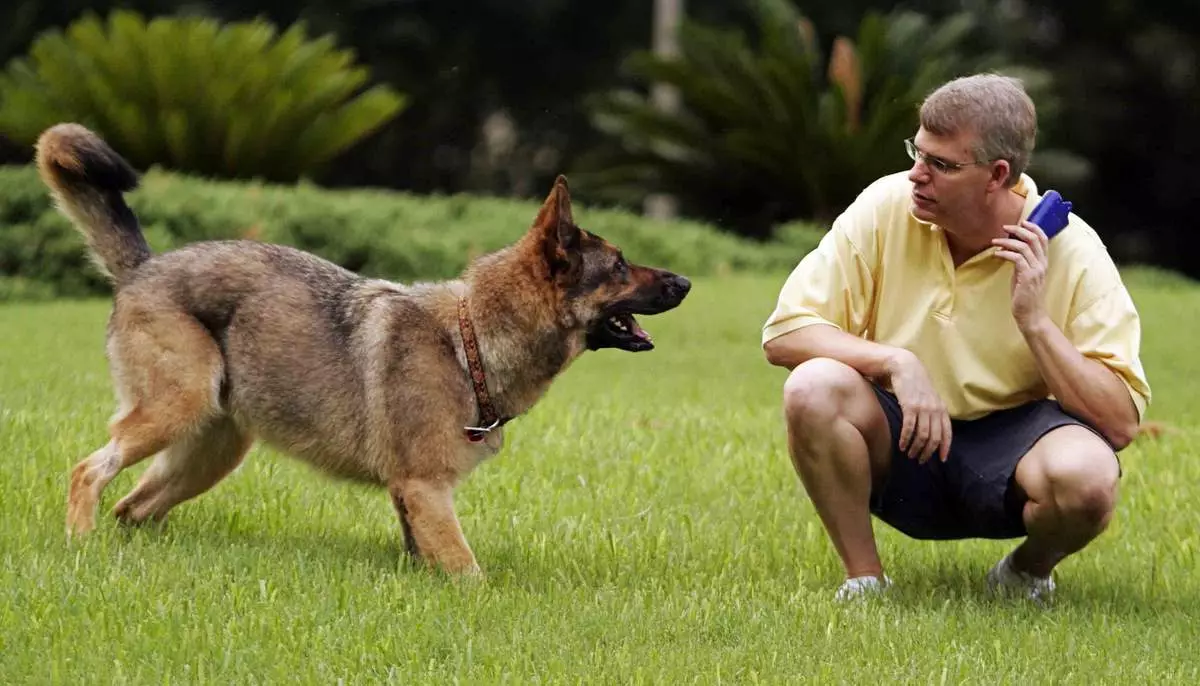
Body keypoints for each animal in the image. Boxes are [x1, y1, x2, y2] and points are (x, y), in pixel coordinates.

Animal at [35, 121, 696, 573]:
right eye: (619, 265)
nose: (686, 282)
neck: (470, 342)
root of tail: (144, 267)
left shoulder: (414, 498)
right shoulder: (428, 492)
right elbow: (471, 574)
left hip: (213, 448)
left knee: (134, 508)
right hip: (177, 408)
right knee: (89, 471)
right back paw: (81, 545)